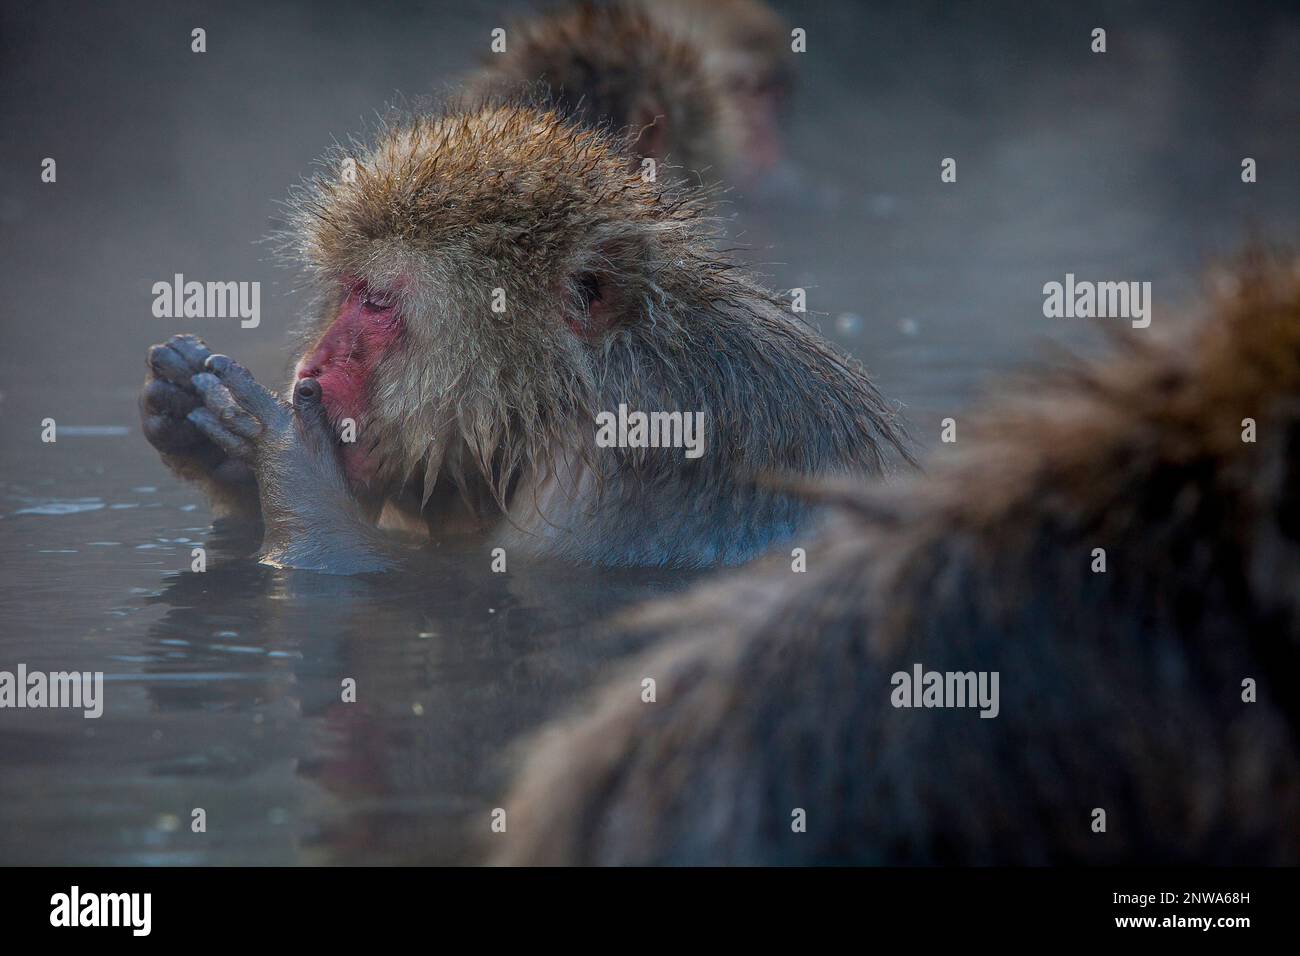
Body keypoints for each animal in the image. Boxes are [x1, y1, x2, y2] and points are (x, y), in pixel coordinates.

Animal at [138, 103, 912, 574]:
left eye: (378, 303)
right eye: (349, 292)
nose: (314, 365)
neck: (572, 392)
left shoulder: (622, 470)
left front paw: (291, 465)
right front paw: (210, 445)